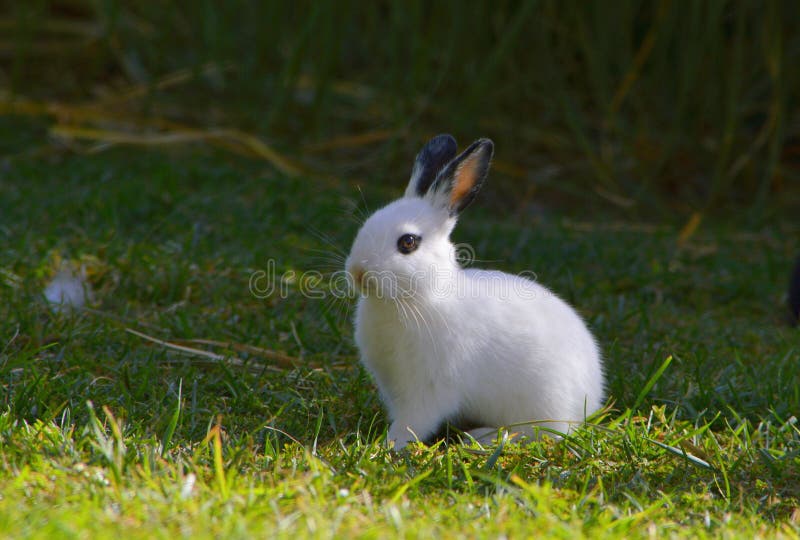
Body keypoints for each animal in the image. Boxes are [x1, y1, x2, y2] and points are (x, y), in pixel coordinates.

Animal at [345, 134, 604, 449]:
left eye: (408, 242)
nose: (357, 272)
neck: (415, 299)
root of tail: (591, 397)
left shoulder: (429, 389)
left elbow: (414, 423)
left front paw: (389, 445)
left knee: (542, 433)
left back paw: (481, 436)